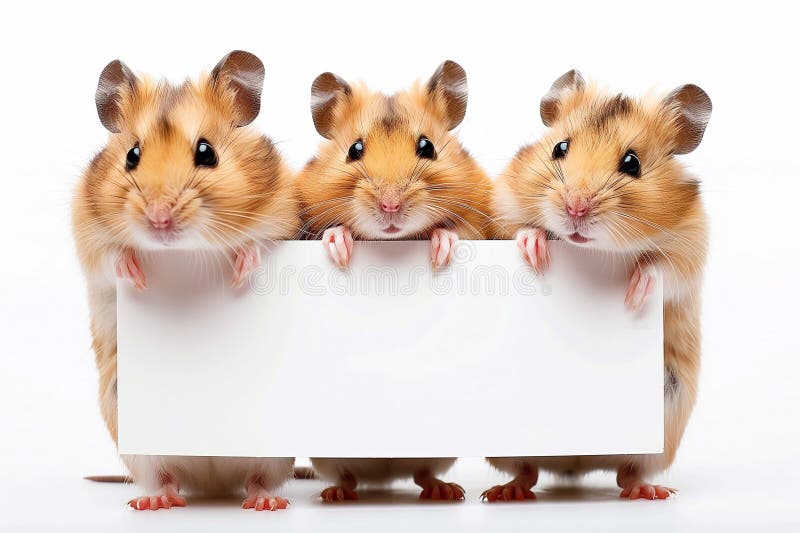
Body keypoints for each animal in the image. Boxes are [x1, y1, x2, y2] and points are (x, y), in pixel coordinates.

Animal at [72, 51, 299, 511]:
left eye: (206, 152)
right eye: (132, 155)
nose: (159, 219)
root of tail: (213, 484)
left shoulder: (283, 216)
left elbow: (260, 241)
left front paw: (240, 269)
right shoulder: (86, 235)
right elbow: (110, 256)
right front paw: (137, 275)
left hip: (272, 450)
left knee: (258, 479)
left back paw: (264, 502)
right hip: (137, 437)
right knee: (164, 477)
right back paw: (154, 502)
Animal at [486, 70, 711, 501]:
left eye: (632, 163)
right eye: (559, 148)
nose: (575, 208)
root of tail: (575, 464)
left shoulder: (692, 246)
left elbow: (663, 268)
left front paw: (635, 289)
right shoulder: (501, 204)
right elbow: (516, 228)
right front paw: (535, 247)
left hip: (663, 423)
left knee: (628, 473)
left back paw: (651, 492)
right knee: (528, 471)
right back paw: (506, 492)